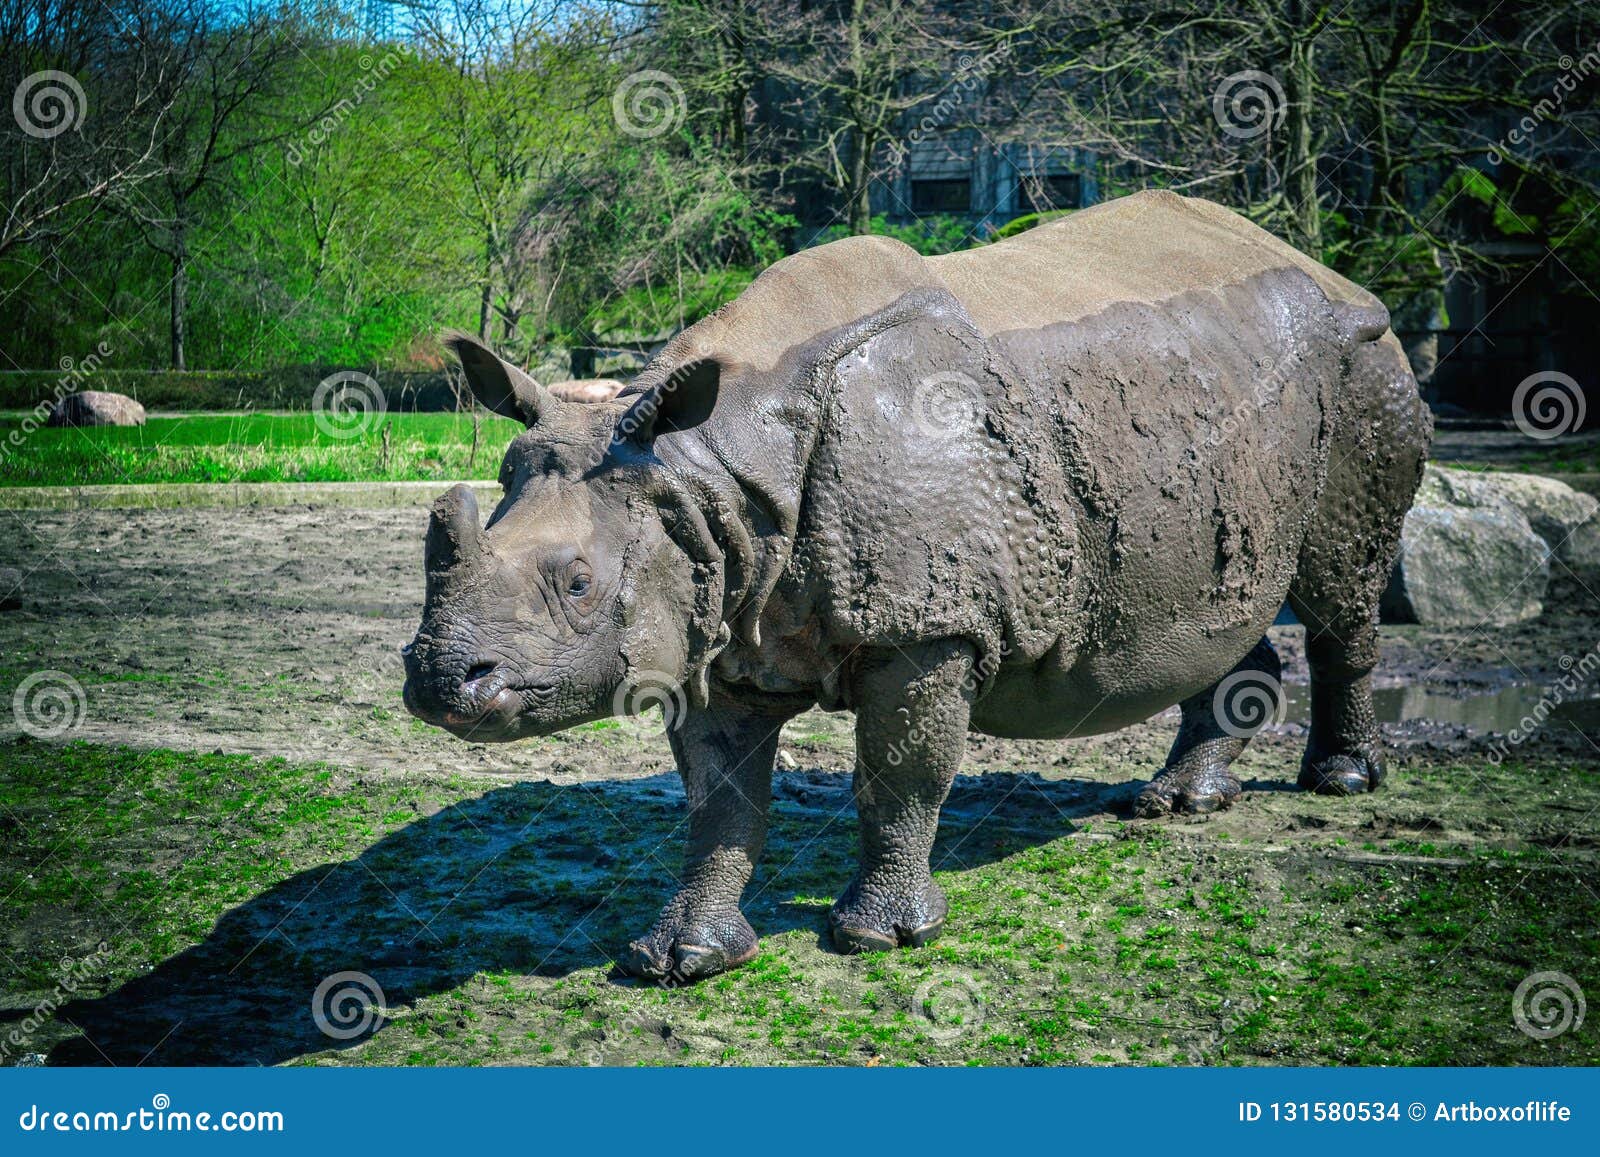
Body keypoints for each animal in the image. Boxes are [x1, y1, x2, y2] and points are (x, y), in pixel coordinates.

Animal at [404, 190, 1431, 982]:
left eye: (578, 583)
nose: (440, 680)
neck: (711, 469)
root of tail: (1335, 276)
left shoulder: (930, 626)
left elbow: (901, 775)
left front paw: (879, 937)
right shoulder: (712, 615)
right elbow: (721, 798)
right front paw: (681, 957)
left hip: (1365, 365)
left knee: (1340, 587)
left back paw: (1340, 780)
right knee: (1228, 594)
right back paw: (1179, 803)